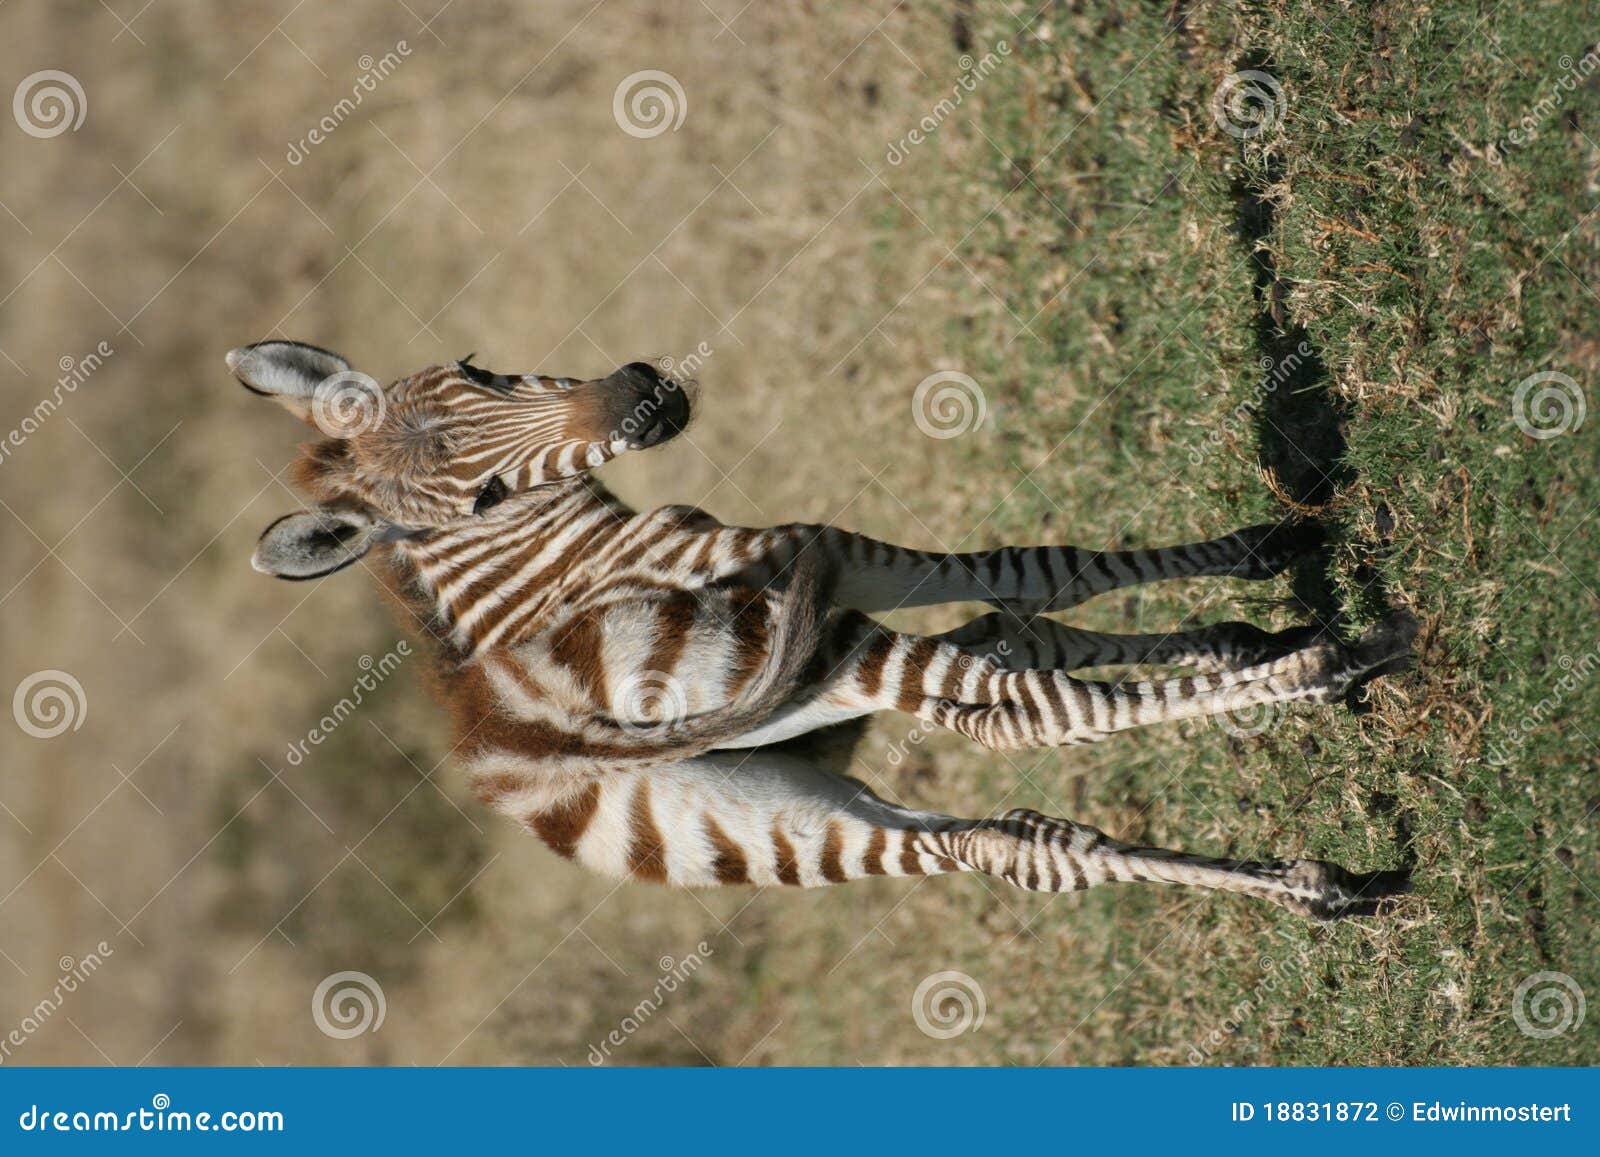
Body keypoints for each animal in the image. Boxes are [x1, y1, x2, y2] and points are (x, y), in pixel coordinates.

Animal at [232, 339, 1415, 920]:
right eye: (478, 498)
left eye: (477, 370)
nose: (643, 392)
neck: (554, 564)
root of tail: (532, 743)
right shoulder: (831, 562)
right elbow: (1033, 600)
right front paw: (1281, 596)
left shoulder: (833, 597)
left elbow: (1031, 612)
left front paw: (1251, 594)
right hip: (808, 662)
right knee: (1022, 727)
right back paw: (1345, 664)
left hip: (768, 830)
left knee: (1003, 837)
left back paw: (1315, 887)